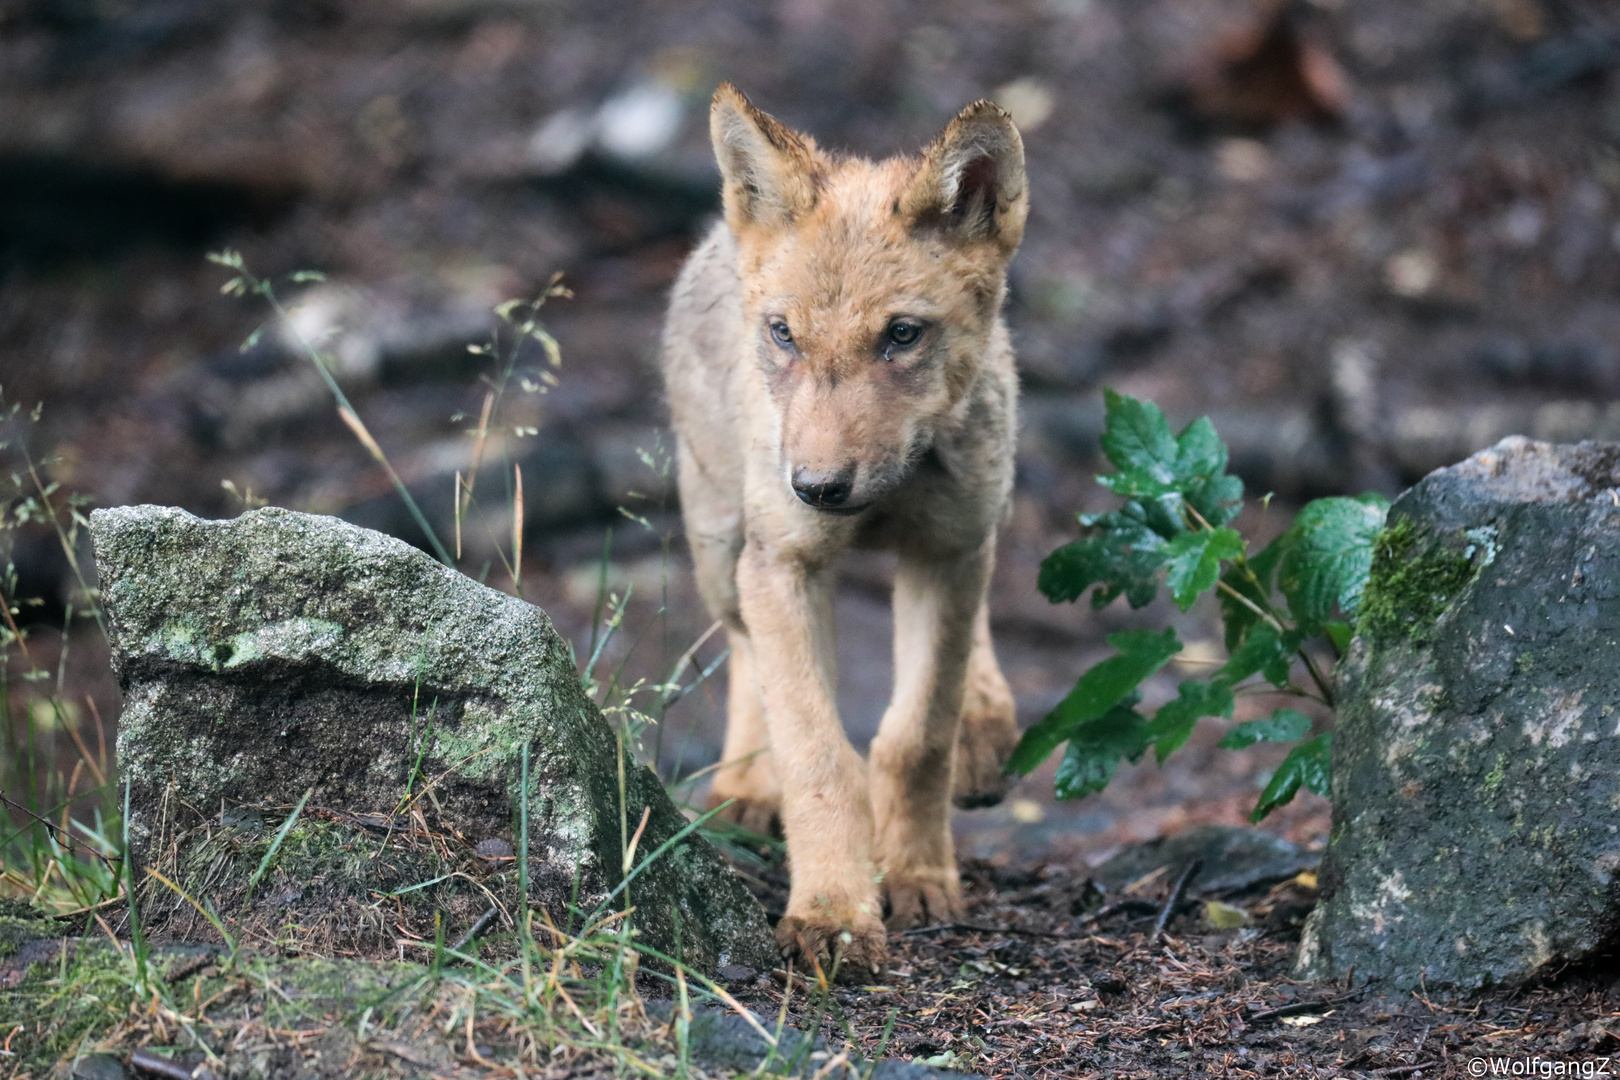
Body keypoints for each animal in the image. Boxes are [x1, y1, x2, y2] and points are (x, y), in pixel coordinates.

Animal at [661, 84, 1027, 979]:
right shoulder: (785, 564)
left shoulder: (947, 552)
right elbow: (819, 753)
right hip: (724, 547)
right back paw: (748, 789)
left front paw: (920, 876)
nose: (818, 487)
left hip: (980, 521)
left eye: (901, 334)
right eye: (785, 334)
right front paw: (834, 912)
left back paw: (985, 728)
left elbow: (915, 738)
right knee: (745, 651)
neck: (888, 500)